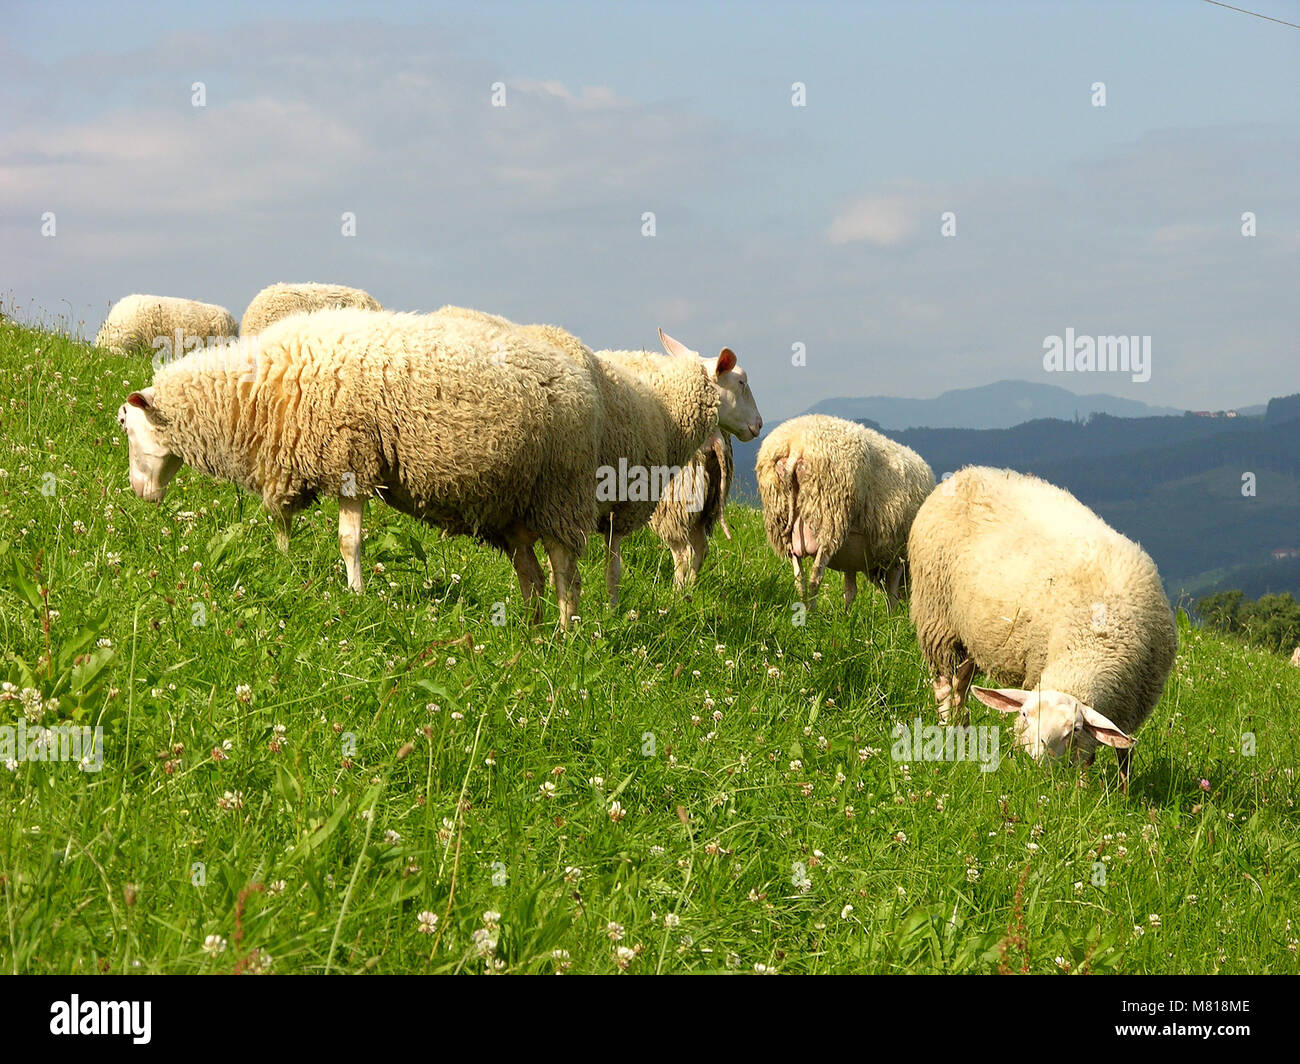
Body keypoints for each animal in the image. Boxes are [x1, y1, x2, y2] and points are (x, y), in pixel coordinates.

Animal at [116, 306, 607, 629]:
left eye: (126, 427)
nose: (140, 494)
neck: (253, 394)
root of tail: (580, 378)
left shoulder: (349, 458)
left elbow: (348, 542)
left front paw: (355, 594)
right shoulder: (289, 460)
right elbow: (281, 524)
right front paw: (283, 565)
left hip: (561, 490)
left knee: (566, 572)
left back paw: (565, 633)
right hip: (514, 508)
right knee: (532, 573)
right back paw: (529, 632)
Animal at [756, 414, 934, 610]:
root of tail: (796, 444)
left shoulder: (852, 559)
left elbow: (850, 591)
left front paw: (846, 614)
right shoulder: (896, 555)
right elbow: (891, 594)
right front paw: (892, 615)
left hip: (781, 519)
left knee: (799, 578)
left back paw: (803, 606)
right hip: (829, 517)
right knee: (815, 576)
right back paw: (812, 611)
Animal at [907, 466, 1178, 792]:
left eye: (1073, 729)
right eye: (1024, 714)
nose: (1036, 764)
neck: (1098, 640)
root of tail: (966, 473)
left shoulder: (1127, 710)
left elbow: (1119, 753)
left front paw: (1113, 794)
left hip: (970, 632)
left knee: (962, 683)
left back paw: (964, 731)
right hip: (937, 617)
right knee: (944, 683)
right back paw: (948, 728)